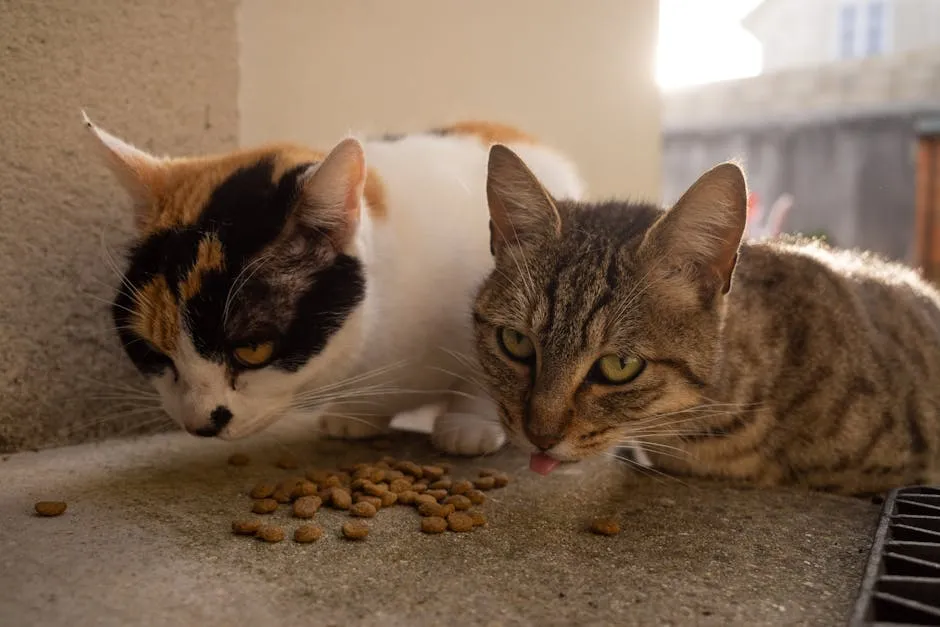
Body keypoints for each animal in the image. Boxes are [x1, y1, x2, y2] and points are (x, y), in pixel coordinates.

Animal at [90, 114, 588, 456]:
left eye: (252, 349)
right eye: (151, 350)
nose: (199, 424)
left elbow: (488, 370)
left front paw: (470, 423)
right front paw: (357, 416)